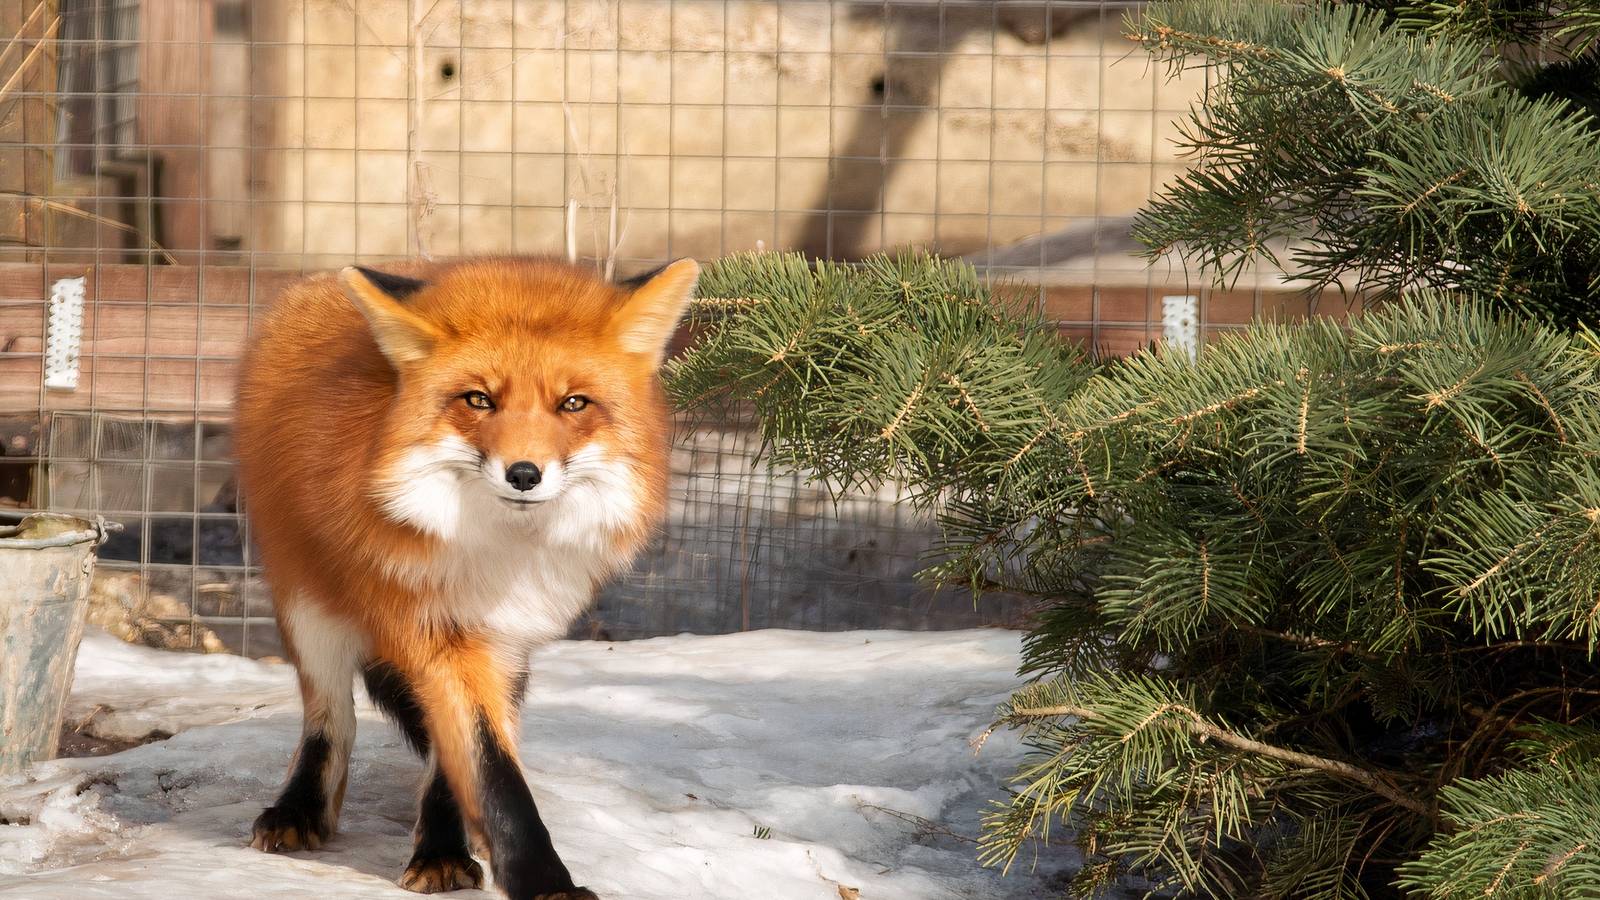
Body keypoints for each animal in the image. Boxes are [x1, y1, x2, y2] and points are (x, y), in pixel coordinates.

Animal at [234, 256, 698, 899]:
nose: (524, 473)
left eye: (573, 404)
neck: (496, 556)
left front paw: (446, 850)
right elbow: (493, 773)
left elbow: (465, 764)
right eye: (478, 399)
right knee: (331, 718)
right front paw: (543, 882)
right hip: (307, 607)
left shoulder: (503, 639)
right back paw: (299, 809)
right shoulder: (433, 631)